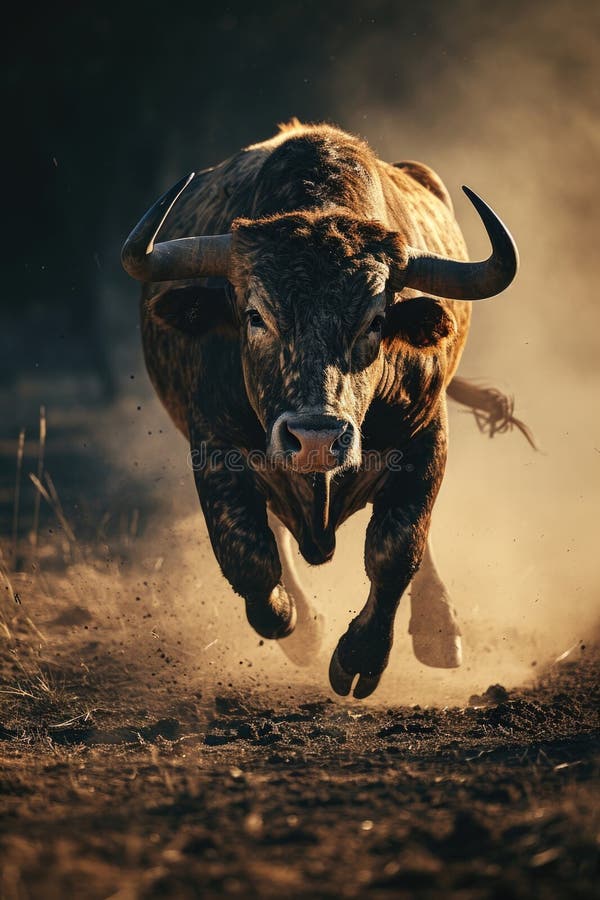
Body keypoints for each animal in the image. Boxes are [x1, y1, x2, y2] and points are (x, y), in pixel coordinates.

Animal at [122, 119, 530, 699]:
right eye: (255, 315)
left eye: (376, 321)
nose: (315, 439)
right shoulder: (214, 444)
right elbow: (247, 552)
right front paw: (298, 626)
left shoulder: (426, 437)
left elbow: (396, 548)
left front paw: (361, 657)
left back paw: (440, 632)